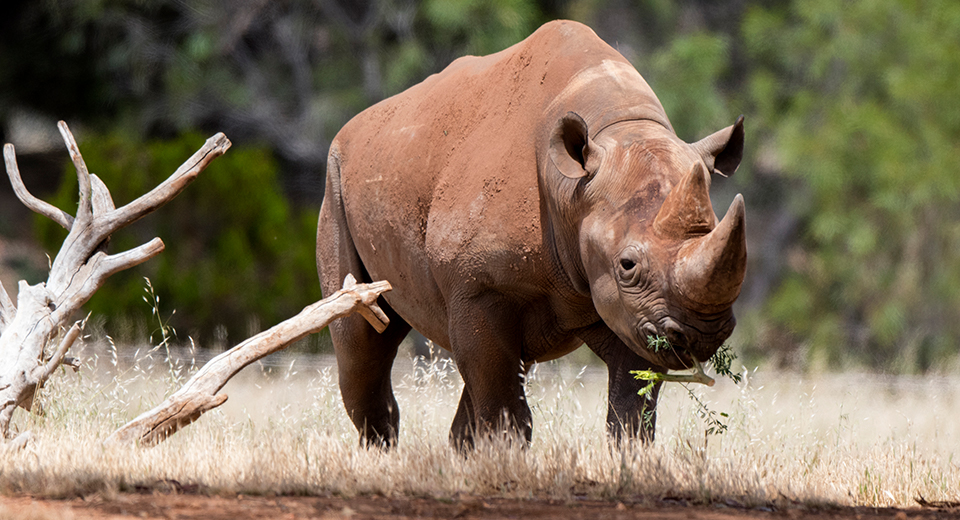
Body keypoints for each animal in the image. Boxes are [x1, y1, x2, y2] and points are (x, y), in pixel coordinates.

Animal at [317, 20, 746, 447]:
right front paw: (506, 457)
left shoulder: (636, 312)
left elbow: (631, 408)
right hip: (336, 178)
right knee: (361, 346)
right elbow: (502, 409)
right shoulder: (481, 289)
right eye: (627, 264)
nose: (703, 334)